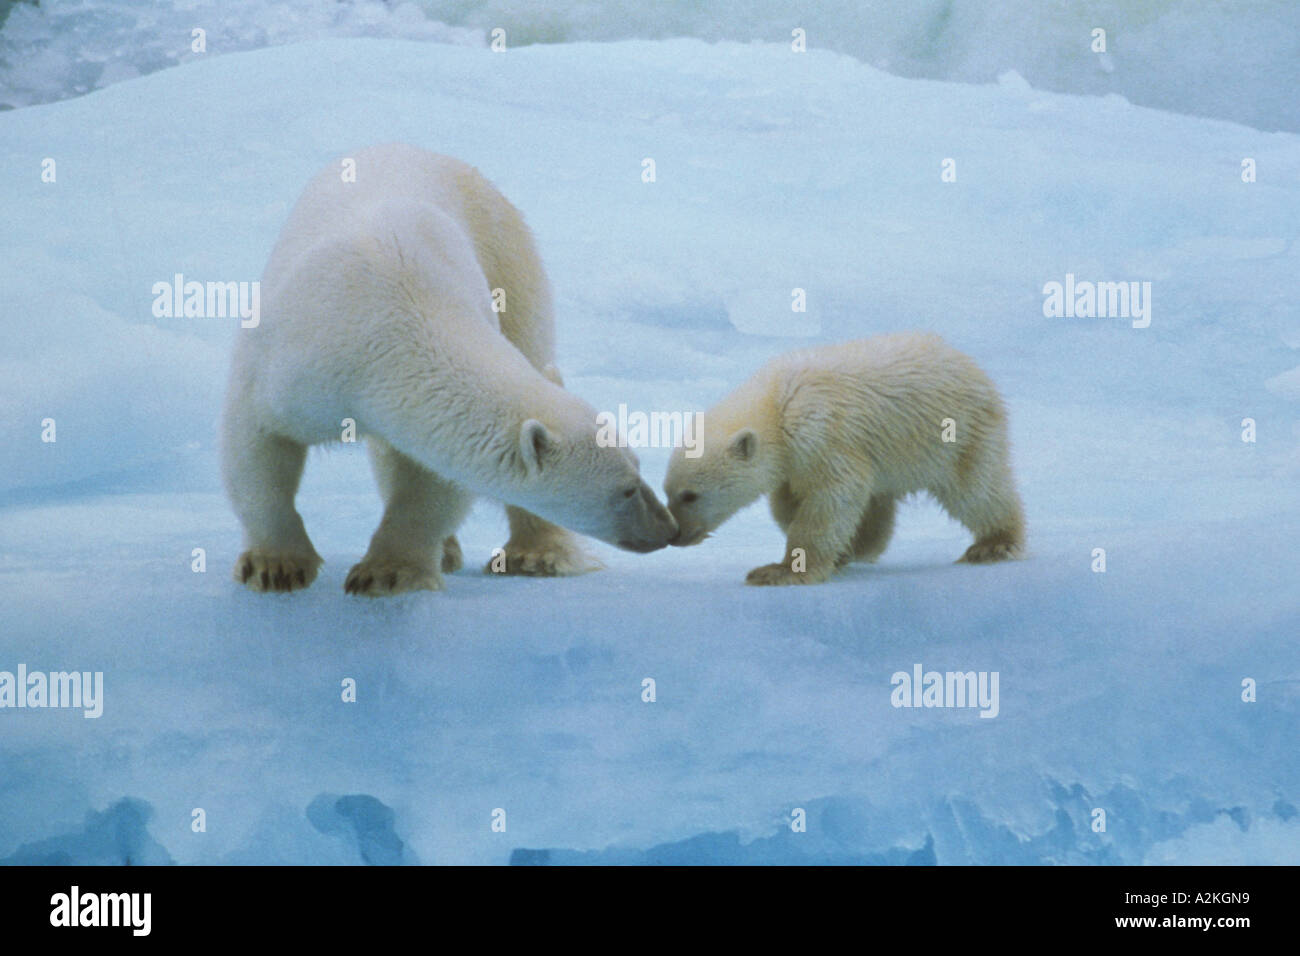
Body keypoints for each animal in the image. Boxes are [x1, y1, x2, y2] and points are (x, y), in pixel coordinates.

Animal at [220, 144, 677, 596]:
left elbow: (431, 479)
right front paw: (276, 566)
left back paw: (535, 555)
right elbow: (257, 441)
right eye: (625, 490)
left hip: (508, 263)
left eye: (638, 467)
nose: (667, 527)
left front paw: (388, 572)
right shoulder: (290, 358)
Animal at [663, 333, 1025, 585]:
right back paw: (865, 544)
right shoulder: (796, 460)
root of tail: (973, 367)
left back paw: (994, 544)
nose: (676, 535)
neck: (776, 402)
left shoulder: (823, 435)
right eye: (667, 492)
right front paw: (838, 552)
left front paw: (779, 571)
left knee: (976, 491)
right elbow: (788, 501)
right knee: (879, 500)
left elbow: (833, 495)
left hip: (959, 436)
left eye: (690, 495)